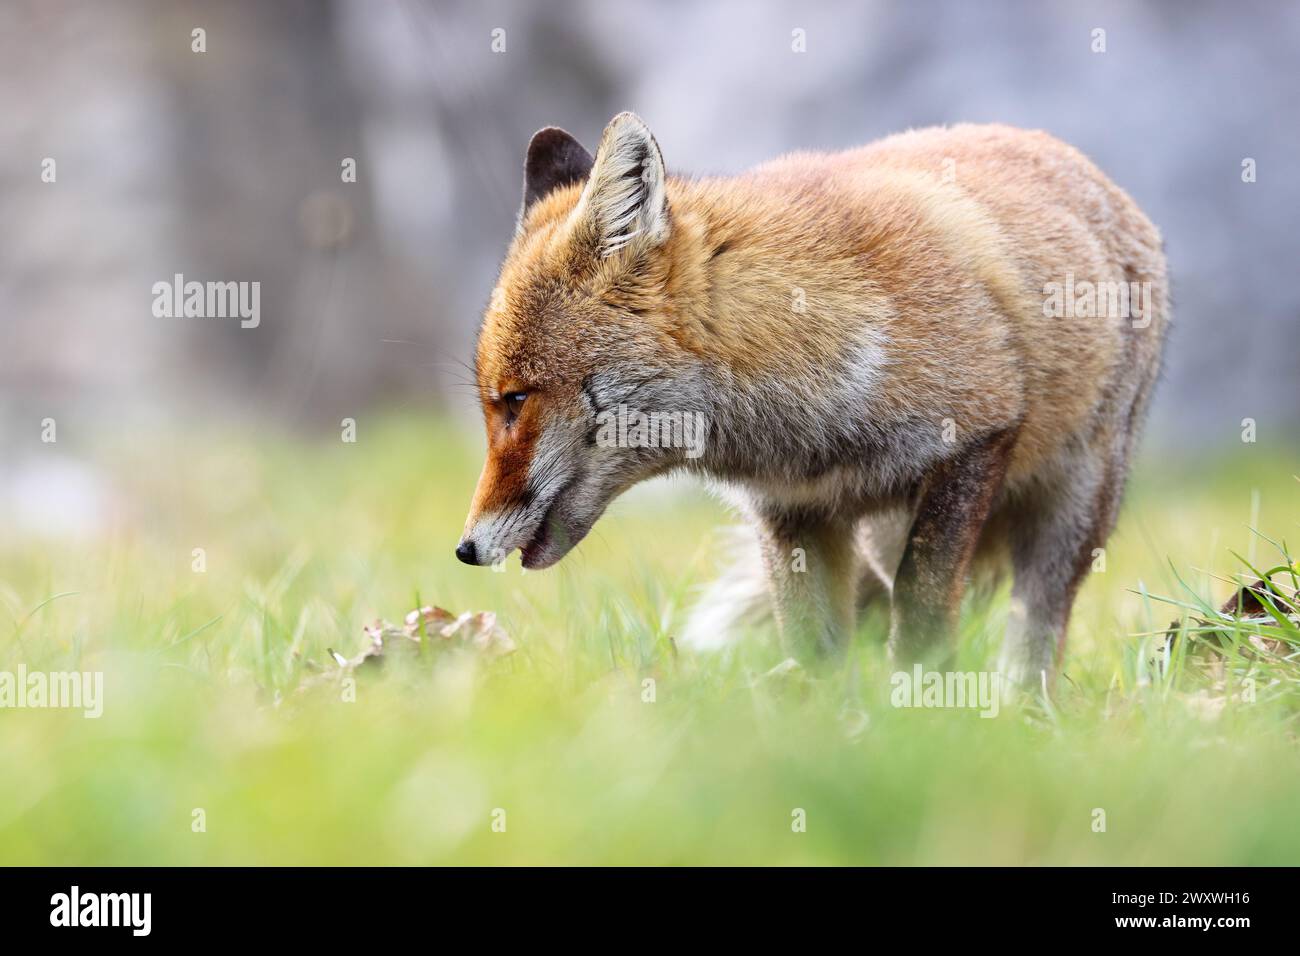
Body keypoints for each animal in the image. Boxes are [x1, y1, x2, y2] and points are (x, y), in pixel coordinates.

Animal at [456, 112, 1168, 688]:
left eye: (514, 399)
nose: (464, 550)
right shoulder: (793, 511)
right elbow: (815, 650)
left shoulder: (975, 437)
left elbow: (921, 616)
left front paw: (922, 721)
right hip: (886, 534)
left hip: (1074, 511)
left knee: (1036, 625)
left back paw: (1028, 709)